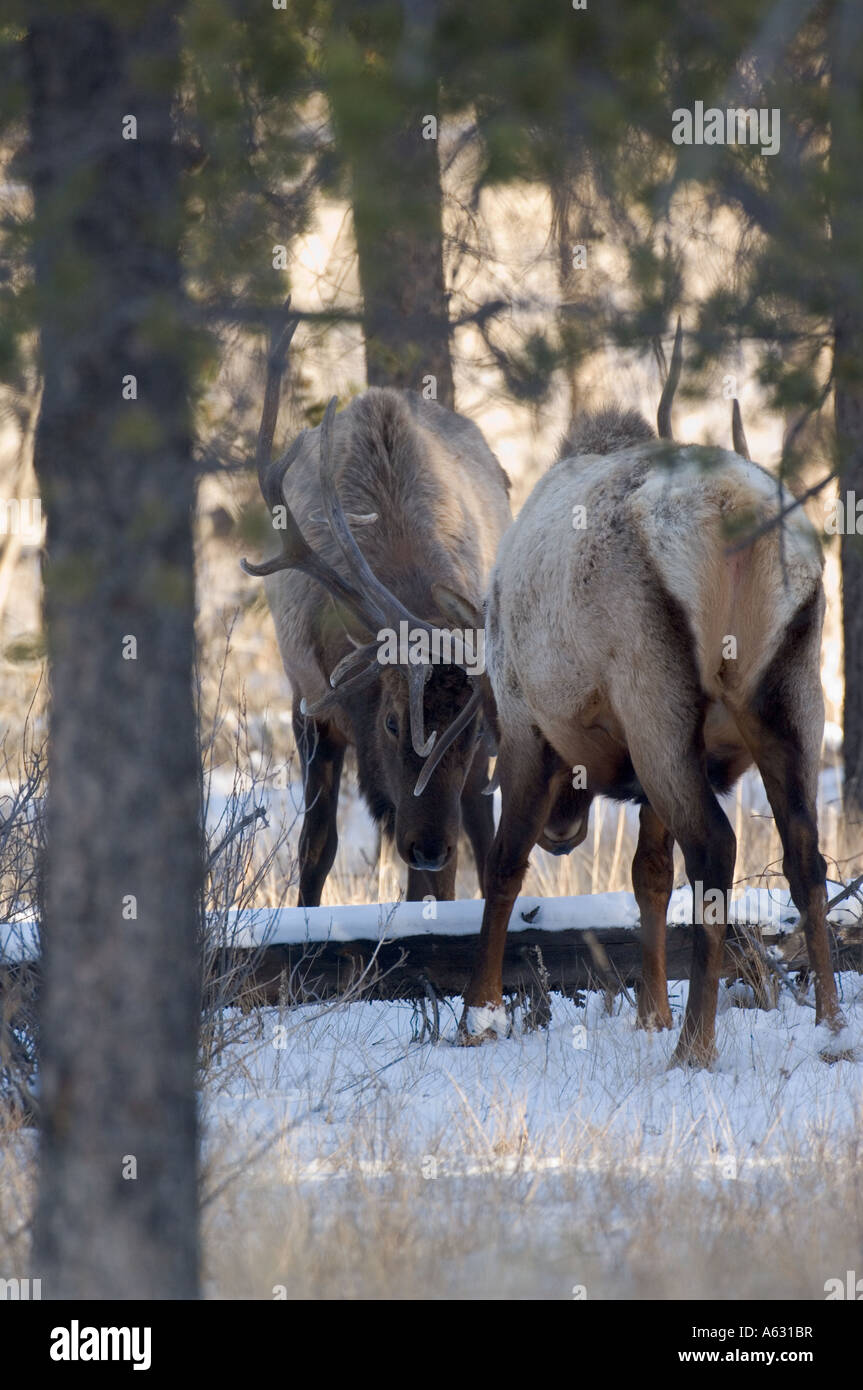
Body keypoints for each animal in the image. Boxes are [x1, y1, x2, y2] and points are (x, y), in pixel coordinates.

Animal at [241, 307, 512, 907]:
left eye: (470, 733)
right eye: (392, 722)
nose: (429, 845)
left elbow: (435, 884)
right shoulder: (308, 700)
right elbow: (315, 849)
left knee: (482, 838)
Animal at [430, 323, 848, 1066]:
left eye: (485, 717)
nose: (563, 833)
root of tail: (735, 515)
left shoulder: (526, 720)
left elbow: (503, 867)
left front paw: (478, 1017)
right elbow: (647, 873)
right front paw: (649, 1011)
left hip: (654, 690)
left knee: (715, 848)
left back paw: (694, 1046)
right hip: (791, 690)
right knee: (804, 852)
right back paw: (829, 1028)